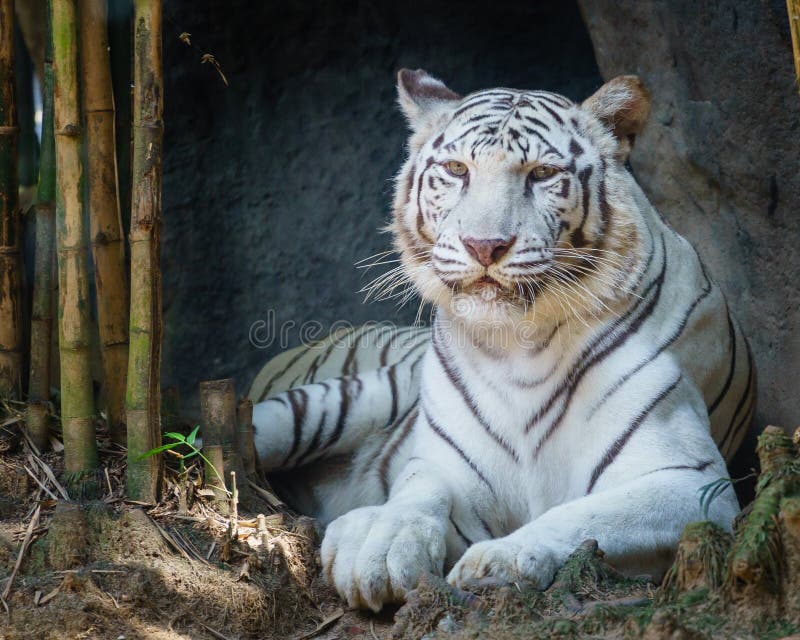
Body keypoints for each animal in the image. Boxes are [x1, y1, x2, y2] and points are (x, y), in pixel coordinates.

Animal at [248, 69, 755, 612]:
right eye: (456, 169)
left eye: (541, 173)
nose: (484, 246)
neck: (518, 346)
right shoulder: (449, 465)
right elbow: (417, 488)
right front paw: (378, 543)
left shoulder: (693, 481)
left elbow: (584, 516)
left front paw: (499, 560)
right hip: (348, 398)